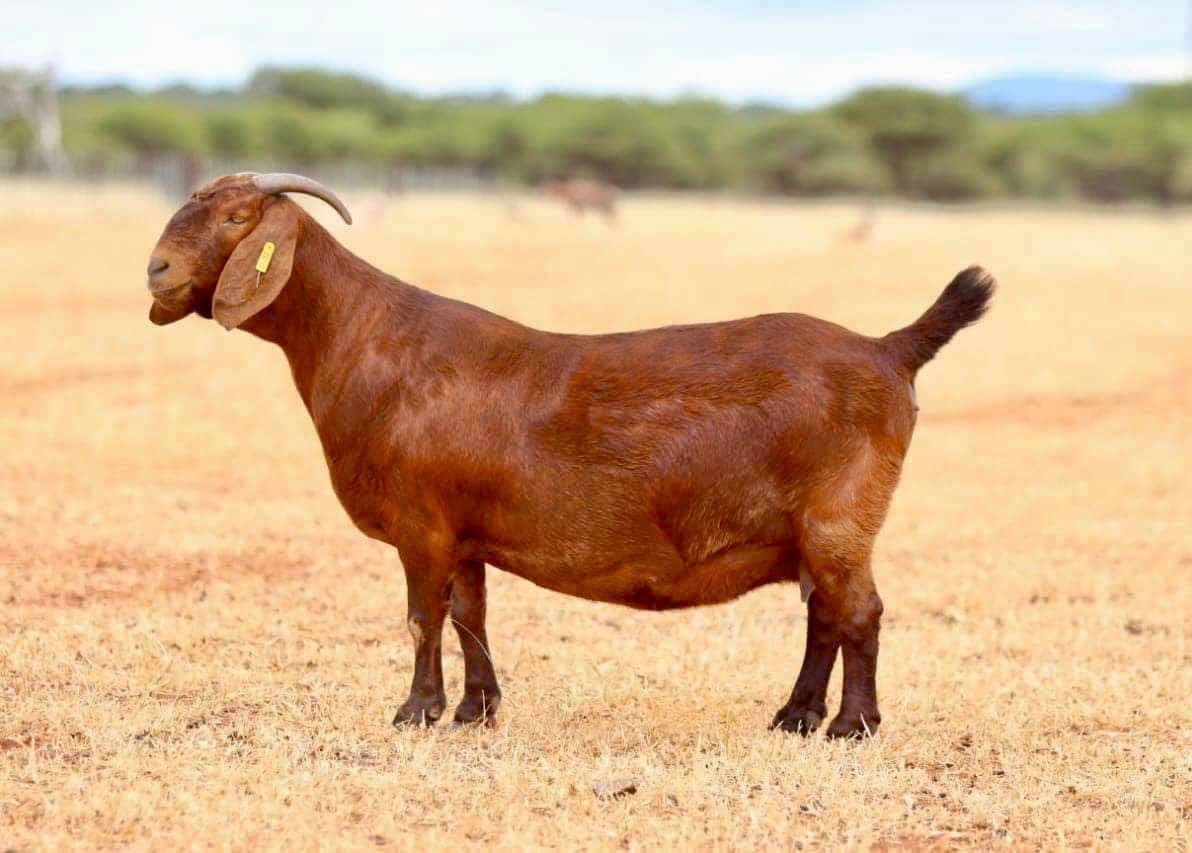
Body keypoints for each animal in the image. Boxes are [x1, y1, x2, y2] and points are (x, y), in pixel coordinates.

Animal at [146, 173, 994, 737]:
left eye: (236, 216)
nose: (156, 269)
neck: (362, 336)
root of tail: (889, 349)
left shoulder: (422, 525)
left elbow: (422, 617)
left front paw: (416, 711)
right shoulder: (465, 533)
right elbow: (469, 614)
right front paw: (476, 709)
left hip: (838, 519)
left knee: (859, 611)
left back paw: (852, 725)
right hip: (810, 532)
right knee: (824, 612)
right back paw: (794, 715)